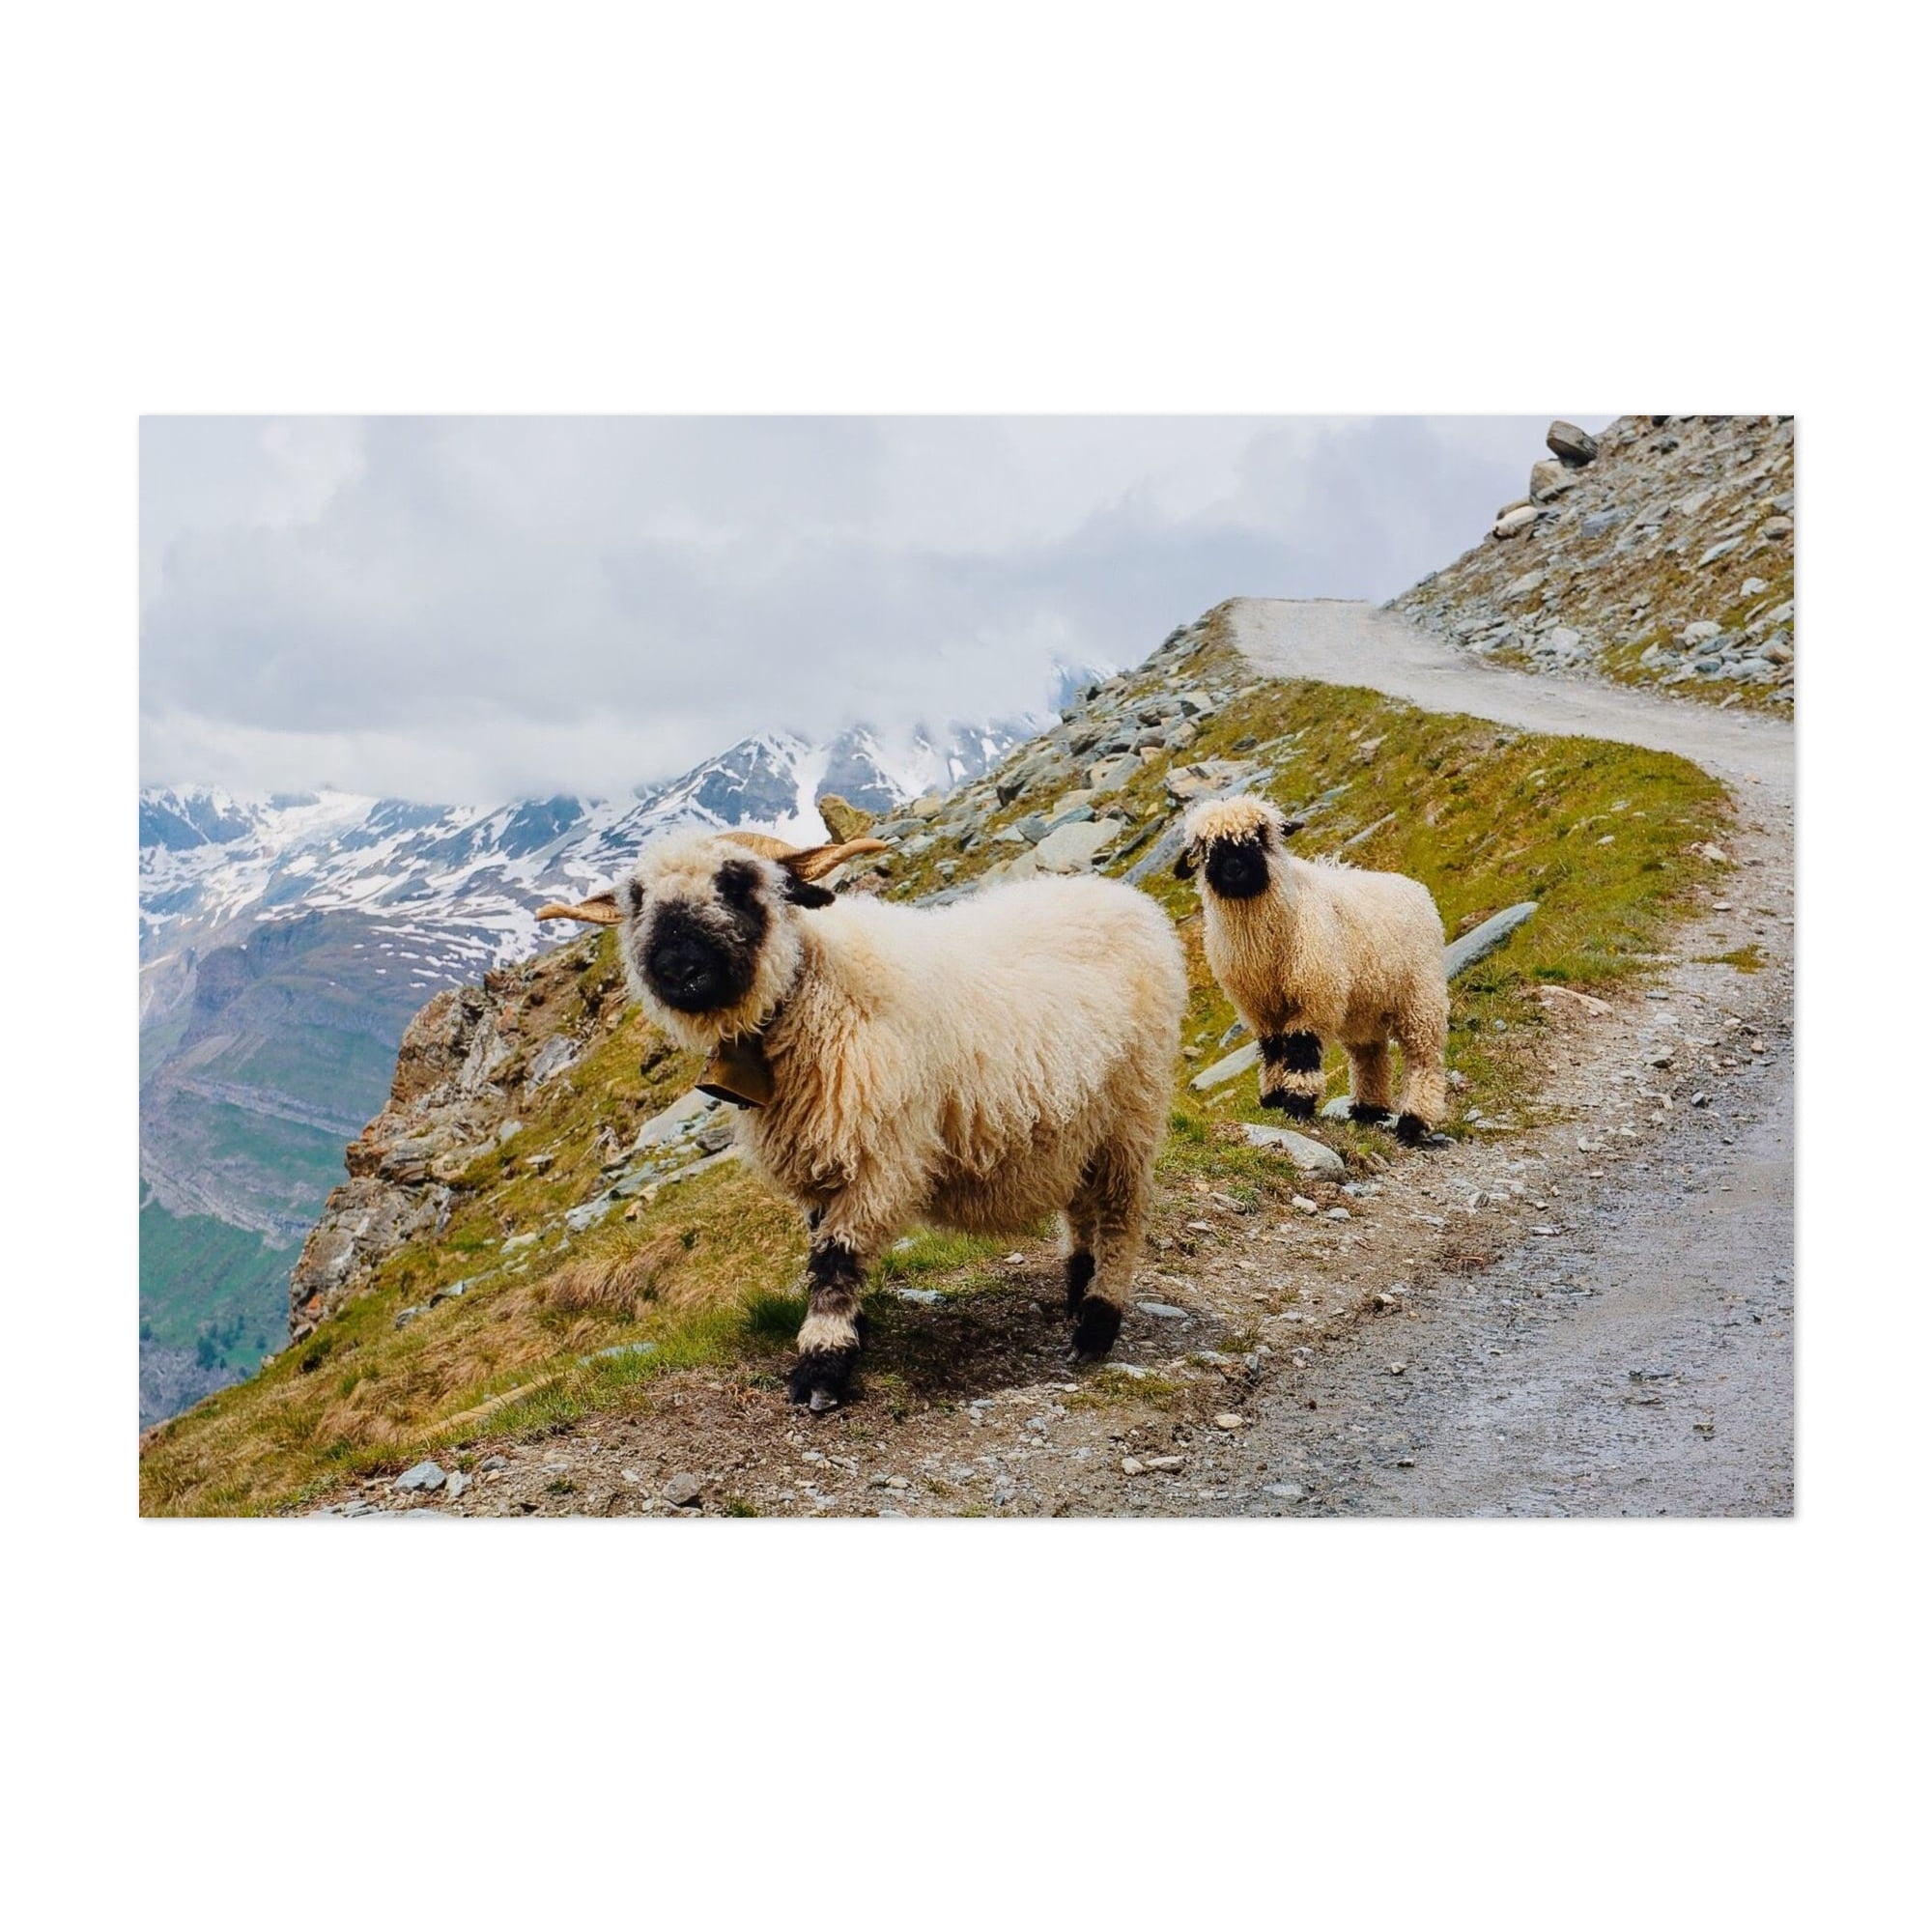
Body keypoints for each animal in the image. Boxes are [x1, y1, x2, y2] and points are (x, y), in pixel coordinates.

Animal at [561, 828, 1188, 1408]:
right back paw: (1077, 1288)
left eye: (737, 883)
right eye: (637, 900)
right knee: (1083, 1207)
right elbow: (822, 1245)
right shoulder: (822, 1159)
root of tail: (1124, 898)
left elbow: (836, 1257)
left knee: (1121, 1215)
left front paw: (822, 1365)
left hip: (1132, 1109)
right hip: (1077, 1124)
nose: (677, 970)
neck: (812, 989)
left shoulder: (879, 1155)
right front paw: (851, 1333)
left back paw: (1097, 1324)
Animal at [1174, 795, 1449, 1145]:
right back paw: (1368, 1110)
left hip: (1420, 996)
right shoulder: (1260, 1008)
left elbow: (1301, 1049)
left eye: (1260, 835)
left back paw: (1413, 1122)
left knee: (1423, 1058)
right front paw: (1273, 1097)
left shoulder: (1314, 995)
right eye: (1205, 846)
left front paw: (1297, 1102)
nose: (1234, 869)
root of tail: (1416, 889)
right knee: (1370, 1055)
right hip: (1364, 1006)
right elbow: (1273, 1048)